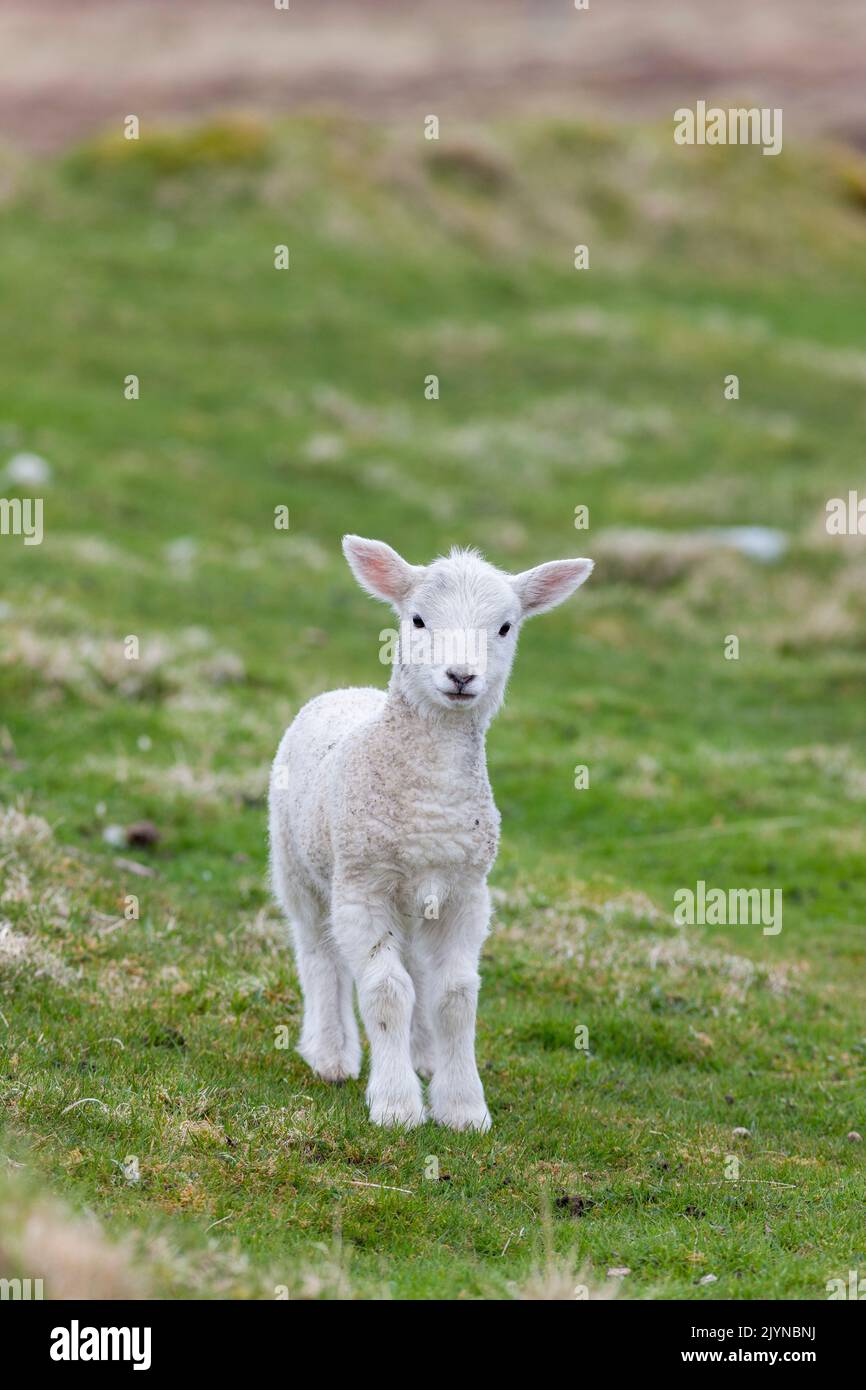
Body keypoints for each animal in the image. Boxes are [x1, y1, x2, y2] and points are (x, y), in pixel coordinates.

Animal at [268, 536, 593, 1130]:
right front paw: (396, 1105)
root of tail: (347, 691)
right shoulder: (364, 886)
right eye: (418, 620)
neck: (430, 797)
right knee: (319, 953)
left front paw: (462, 1106)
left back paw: (422, 1056)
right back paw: (331, 1054)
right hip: (298, 866)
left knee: (416, 967)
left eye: (505, 627)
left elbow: (455, 996)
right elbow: (386, 990)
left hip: (418, 899)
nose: (461, 676)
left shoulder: (465, 892)